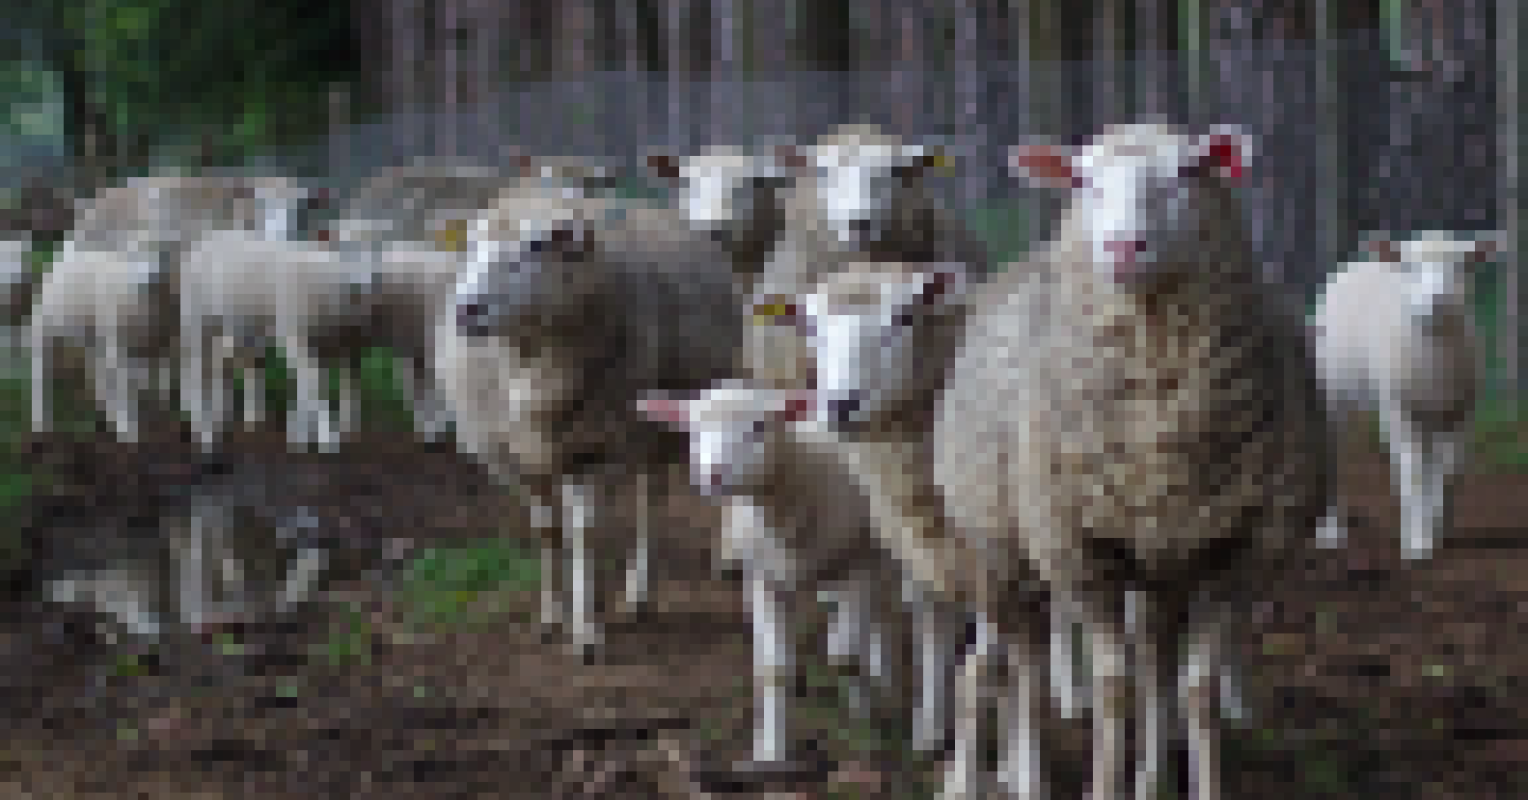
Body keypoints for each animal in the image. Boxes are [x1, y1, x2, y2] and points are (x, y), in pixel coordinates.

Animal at [440, 191, 749, 658]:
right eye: (471, 245)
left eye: (535, 246)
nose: (465, 310)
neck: (530, 367)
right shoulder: (519, 458)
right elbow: (547, 531)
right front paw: (551, 616)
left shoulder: (593, 448)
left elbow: (582, 534)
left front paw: (585, 632)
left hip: (673, 420)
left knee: (651, 502)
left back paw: (645, 591)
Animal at [636, 381, 963, 761]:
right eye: (693, 429)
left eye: (759, 427)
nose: (713, 474)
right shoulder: (763, 578)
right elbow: (773, 668)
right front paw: (771, 752)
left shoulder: (855, 569)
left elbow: (844, 656)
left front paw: (865, 725)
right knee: (880, 619)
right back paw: (883, 680)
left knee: (918, 619)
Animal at [1312, 231, 1501, 559]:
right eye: (1410, 267)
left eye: (1461, 266)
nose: (1437, 302)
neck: (1434, 364)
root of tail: (1361, 262)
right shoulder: (1399, 407)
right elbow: (1412, 471)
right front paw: (1418, 544)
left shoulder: (1460, 410)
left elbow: (1449, 470)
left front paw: (1436, 531)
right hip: (1332, 387)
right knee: (1334, 449)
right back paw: (1331, 530)